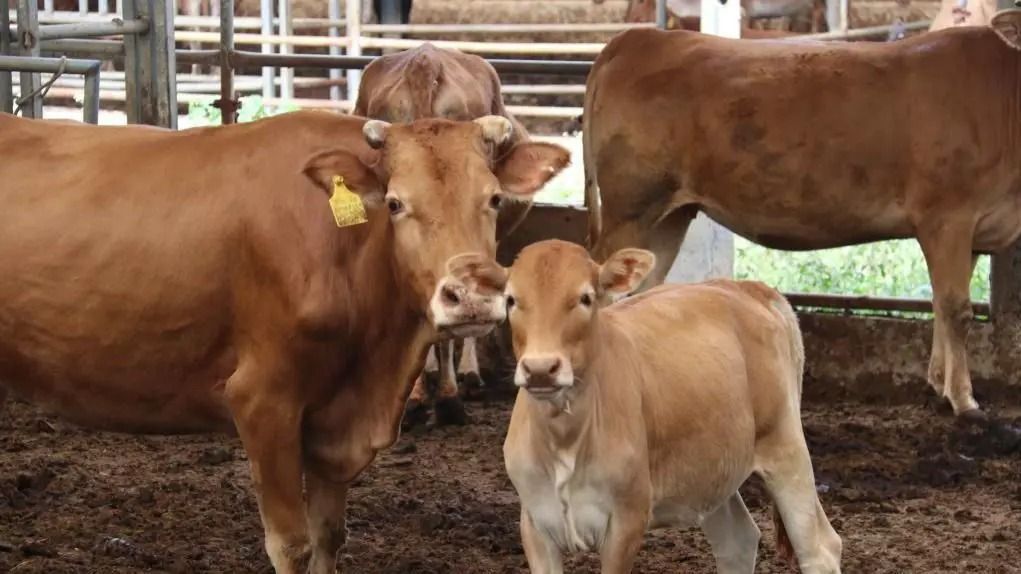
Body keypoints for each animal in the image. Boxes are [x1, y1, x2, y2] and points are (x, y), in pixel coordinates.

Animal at [0, 110, 570, 573]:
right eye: (395, 203)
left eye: (492, 198)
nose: (470, 293)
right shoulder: (261, 400)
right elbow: (292, 545)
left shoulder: (335, 422)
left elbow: (328, 536)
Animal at [502, 240, 842, 573]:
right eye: (510, 300)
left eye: (585, 297)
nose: (541, 368)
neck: (564, 439)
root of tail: (748, 288)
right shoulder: (534, 522)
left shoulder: (628, 518)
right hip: (714, 468)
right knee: (738, 540)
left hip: (786, 446)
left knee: (819, 549)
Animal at [582, 14, 1021, 422]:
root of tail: (640, 37)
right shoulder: (947, 216)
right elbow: (956, 309)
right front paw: (965, 401)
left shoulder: (973, 228)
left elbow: (941, 305)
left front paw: (939, 385)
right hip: (631, 207)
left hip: (669, 215)